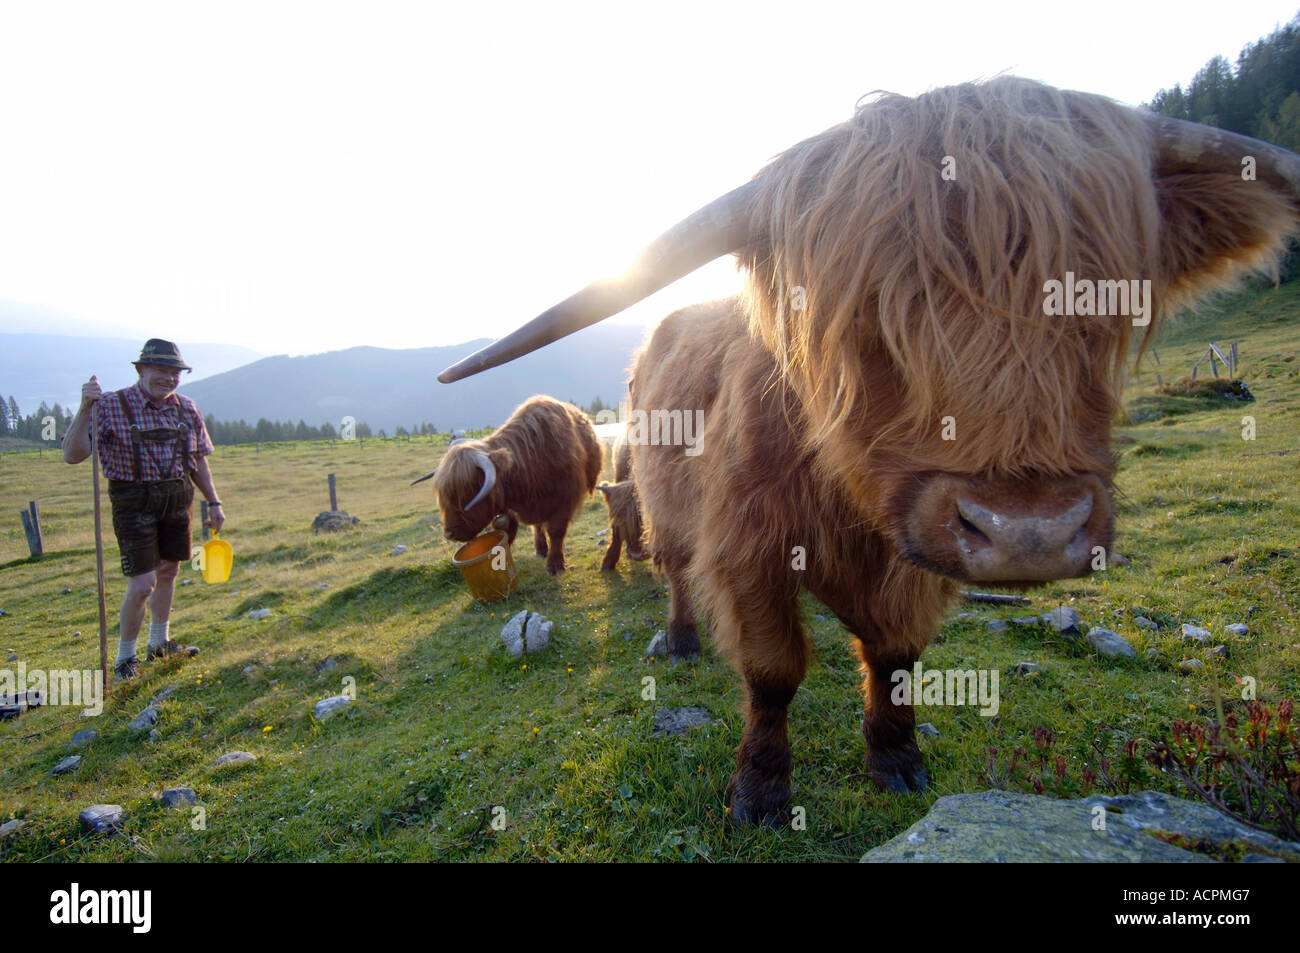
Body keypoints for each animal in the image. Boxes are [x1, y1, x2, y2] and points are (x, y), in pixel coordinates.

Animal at [413, 395, 603, 575]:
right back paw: (541, 549)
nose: (449, 533)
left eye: (466, 490)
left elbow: (556, 532)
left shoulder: (565, 501)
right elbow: (510, 530)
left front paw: (555, 565)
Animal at [438, 78, 1300, 823]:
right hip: (664, 507)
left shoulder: (914, 567)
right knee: (676, 570)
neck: (847, 502)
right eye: (866, 323)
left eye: (1103, 307)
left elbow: (895, 657)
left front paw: (896, 759)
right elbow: (773, 669)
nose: (1028, 530)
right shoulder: (748, 549)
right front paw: (760, 790)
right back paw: (680, 639)